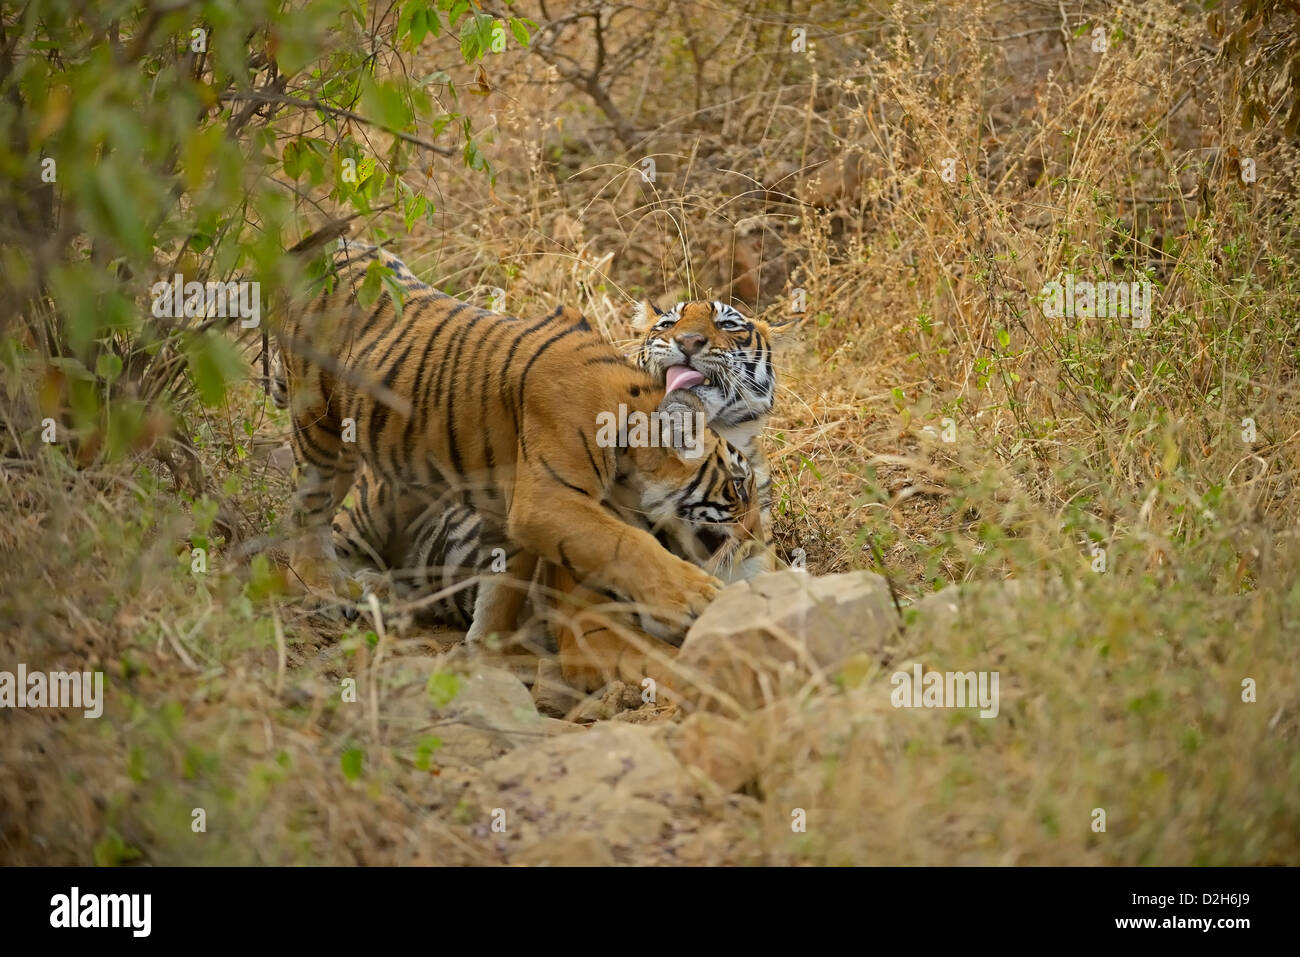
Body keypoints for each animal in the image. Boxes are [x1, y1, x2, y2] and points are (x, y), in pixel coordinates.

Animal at [273, 238, 728, 646]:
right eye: (733, 488)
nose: (740, 540)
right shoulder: (544, 500)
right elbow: (629, 543)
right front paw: (698, 597)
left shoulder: (512, 512)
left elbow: (503, 588)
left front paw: (484, 651)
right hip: (319, 425)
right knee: (310, 511)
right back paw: (323, 588)